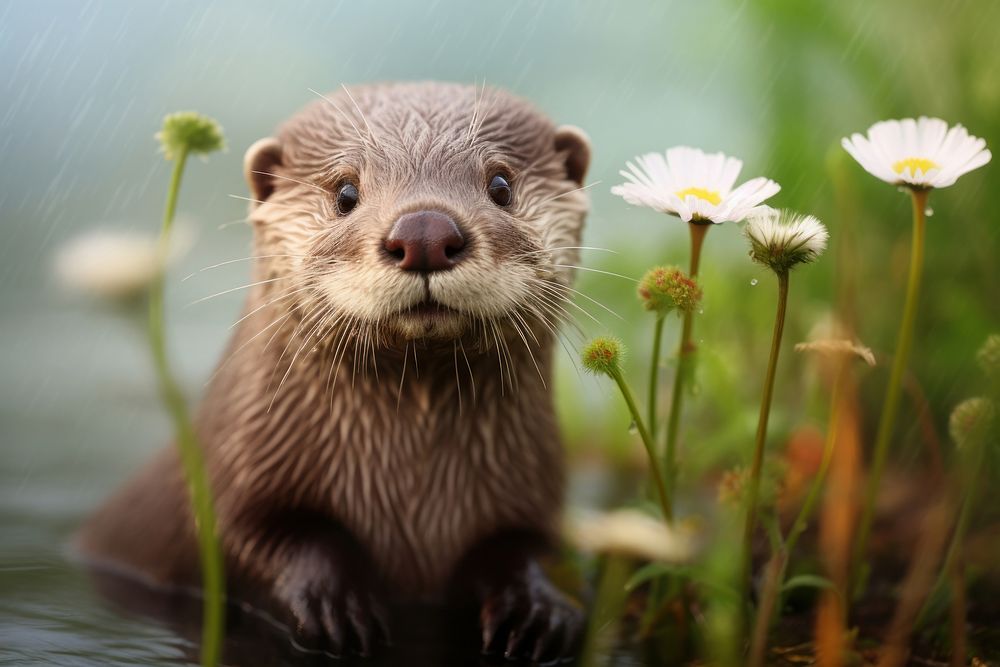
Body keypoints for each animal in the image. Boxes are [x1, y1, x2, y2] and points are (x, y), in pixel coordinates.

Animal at [77, 82, 591, 662]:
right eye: (345, 192)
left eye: (501, 184)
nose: (425, 231)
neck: (414, 500)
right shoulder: (228, 480)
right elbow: (254, 539)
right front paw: (332, 608)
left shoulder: (533, 500)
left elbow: (530, 550)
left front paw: (539, 607)